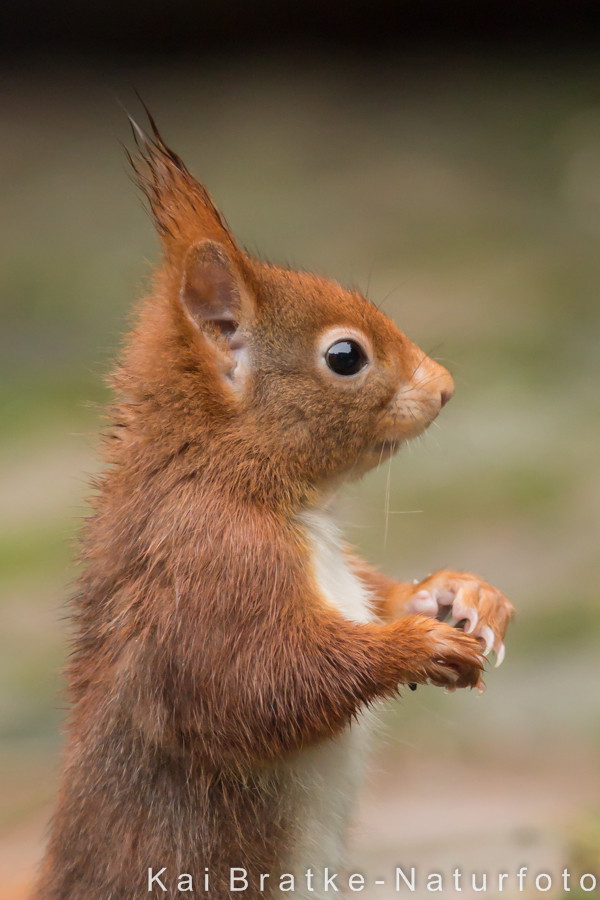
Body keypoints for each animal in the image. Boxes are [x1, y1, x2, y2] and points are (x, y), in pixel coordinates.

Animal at [32, 114, 514, 900]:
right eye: (345, 357)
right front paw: (417, 646)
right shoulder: (211, 567)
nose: (444, 387)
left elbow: (380, 598)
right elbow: (252, 688)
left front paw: (461, 594)